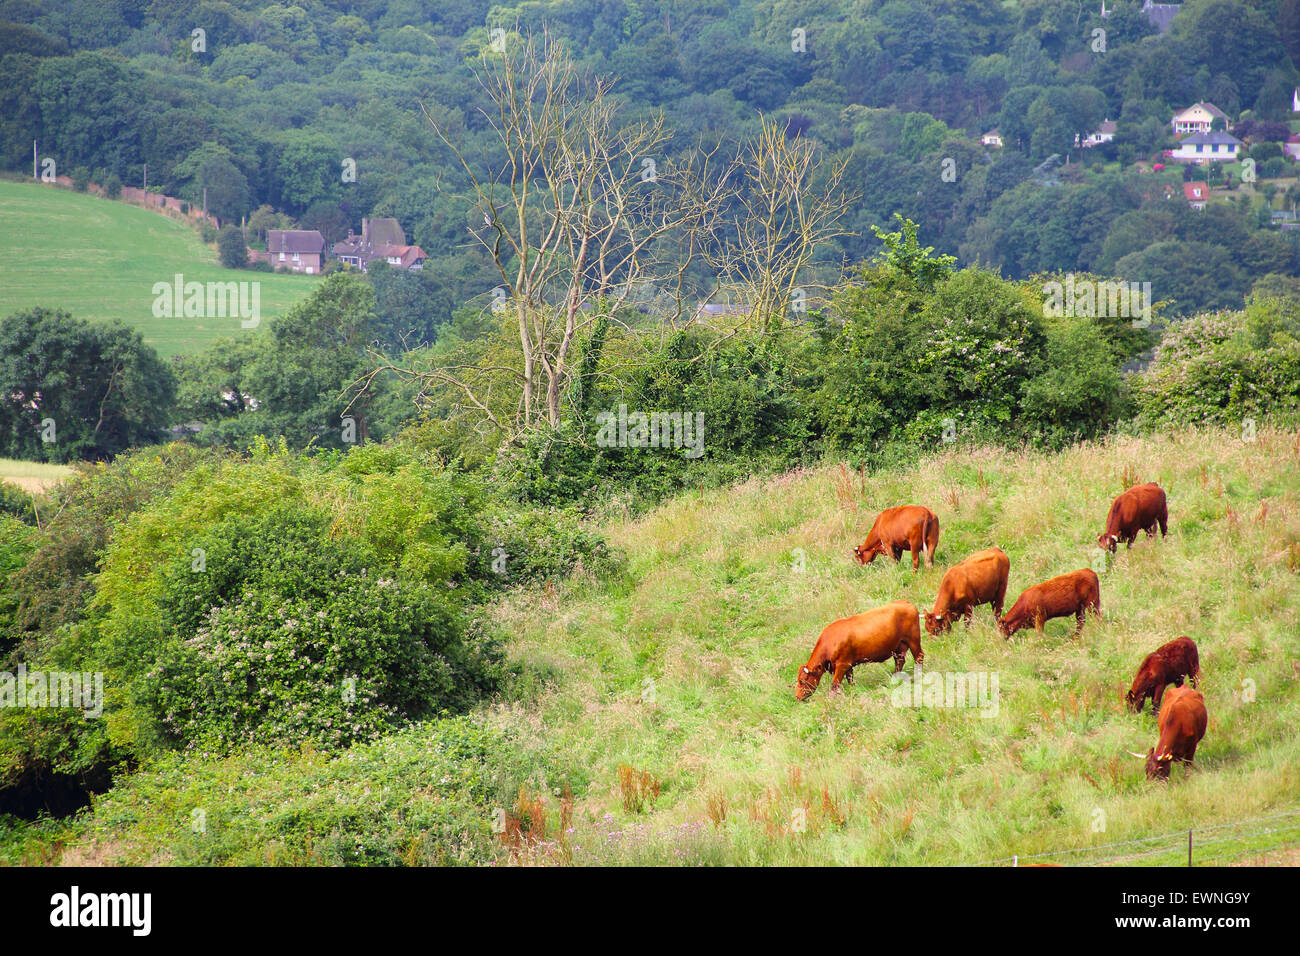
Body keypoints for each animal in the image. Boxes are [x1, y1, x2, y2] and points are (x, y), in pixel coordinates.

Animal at [795, 600, 924, 701]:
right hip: (899, 646)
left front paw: (831, 699)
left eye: (802, 681)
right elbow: (850, 679)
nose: (797, 697)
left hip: (913, 639)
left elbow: (834, 684)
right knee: (900, 661)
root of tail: (905, 602)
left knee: (919, 657)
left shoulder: (842, 665)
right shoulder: (848, 665)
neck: (830, 641)